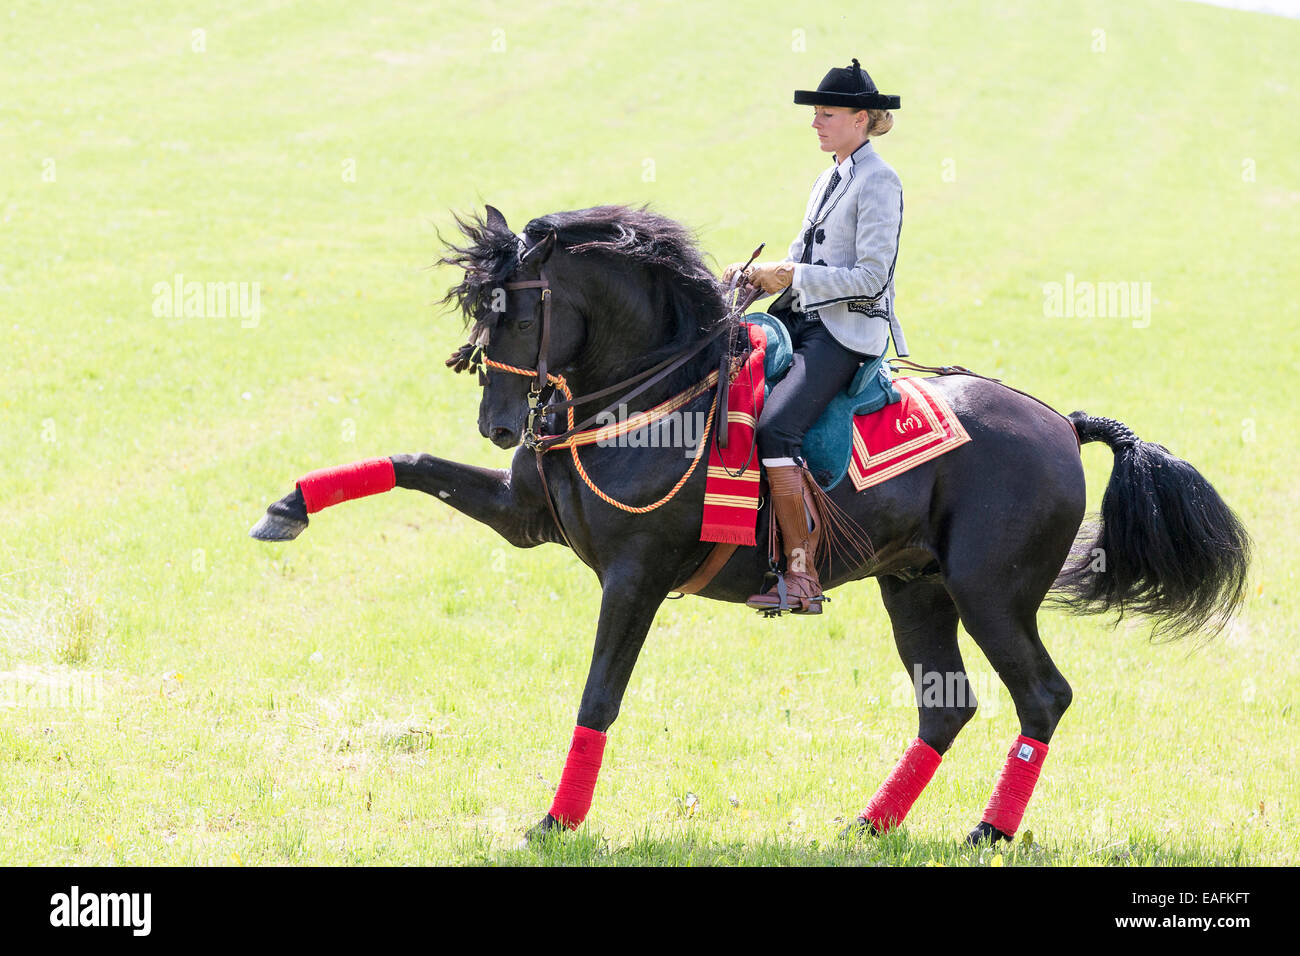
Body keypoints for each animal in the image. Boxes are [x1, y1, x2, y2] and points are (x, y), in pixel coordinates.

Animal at [250, 203, 1251, 845]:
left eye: (520, 308)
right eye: (476, 306)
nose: (501, 425)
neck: (645, 391)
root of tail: (1060, 424)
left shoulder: (636, 575)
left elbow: (598, 695)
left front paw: (557, 821)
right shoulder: (525, 518)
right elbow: (412, 464)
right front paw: (287, 507)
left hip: (990, 594)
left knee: (1041, 696)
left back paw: (987, 832)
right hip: (914, 587)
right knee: (948, 703)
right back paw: (870, 824)